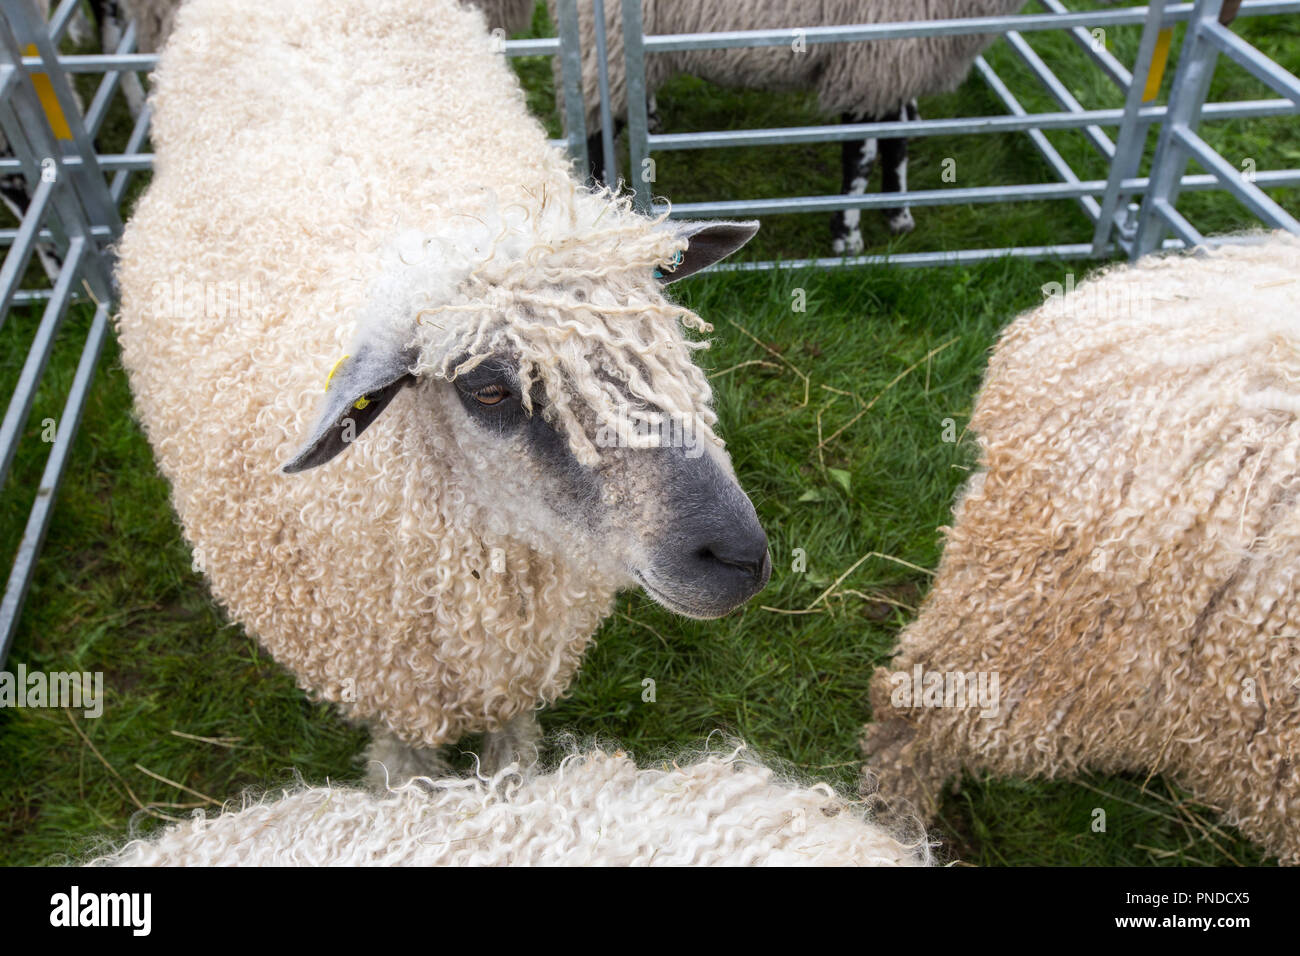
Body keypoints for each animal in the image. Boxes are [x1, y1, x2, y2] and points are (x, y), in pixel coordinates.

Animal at [561, 0, 1026, 252]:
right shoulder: (866, 60)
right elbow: (860, 154)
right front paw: (848, 239)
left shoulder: (896, 65)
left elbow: (900, 138)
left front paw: (898, 215)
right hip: (605, 43)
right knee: (595, 130)